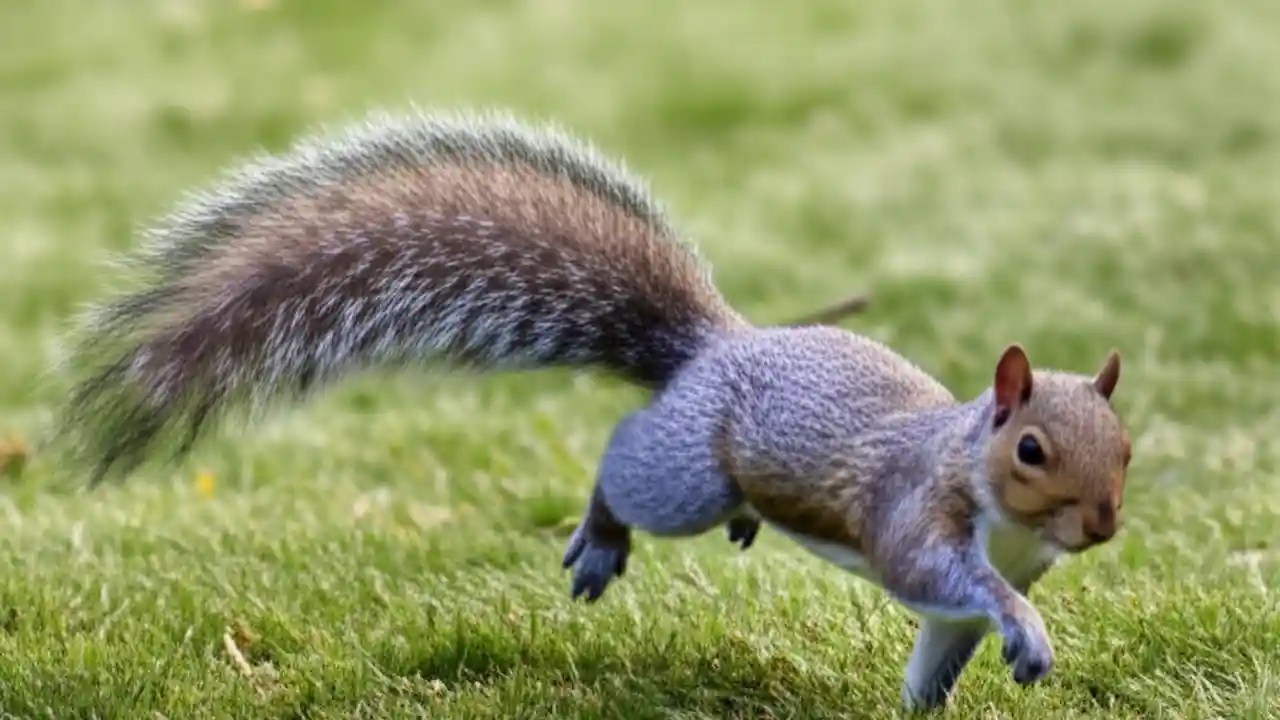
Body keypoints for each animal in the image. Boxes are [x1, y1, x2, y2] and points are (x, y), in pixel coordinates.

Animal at [59, 109, 1132, 712]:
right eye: (1031, 450)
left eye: (1126, 447)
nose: (1103, 526)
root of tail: (715, 348)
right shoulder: (917, 519)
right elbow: (947, 579)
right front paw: (1025, 629)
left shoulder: (968, 599)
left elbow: (938, 657)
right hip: (684, 474)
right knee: (624, 462)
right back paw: (603, 541)